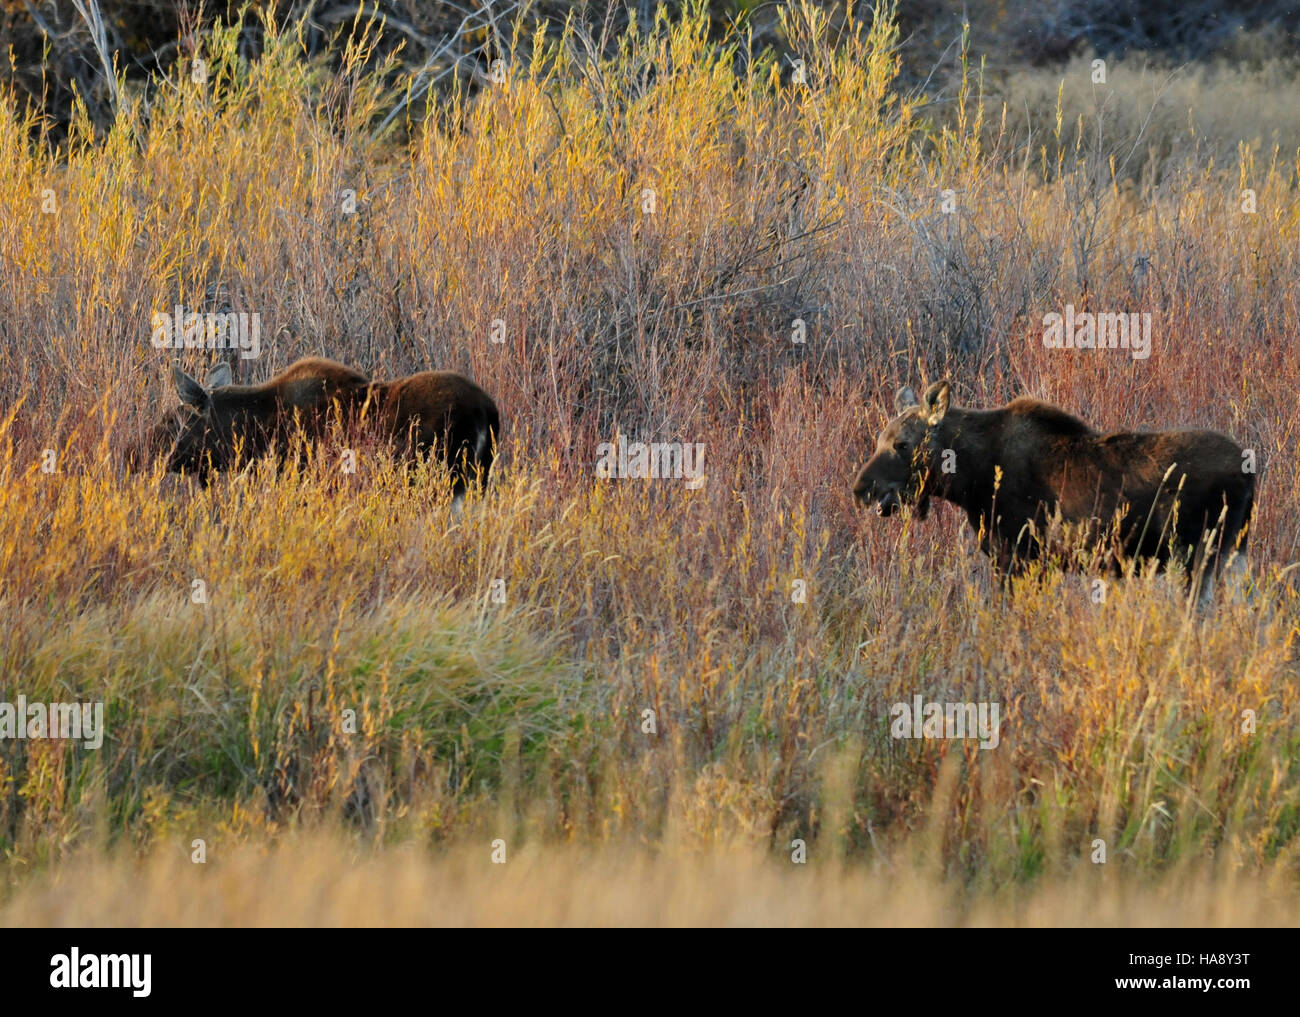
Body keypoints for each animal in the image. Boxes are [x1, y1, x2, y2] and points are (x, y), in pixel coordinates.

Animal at [851, 381, 1255, 602]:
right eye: (879, 439)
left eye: (902, 444)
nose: (860, 489)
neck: (969, 481)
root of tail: (1251, 473)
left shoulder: (1016, 555)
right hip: (1230, 556)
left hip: (1200, 556)